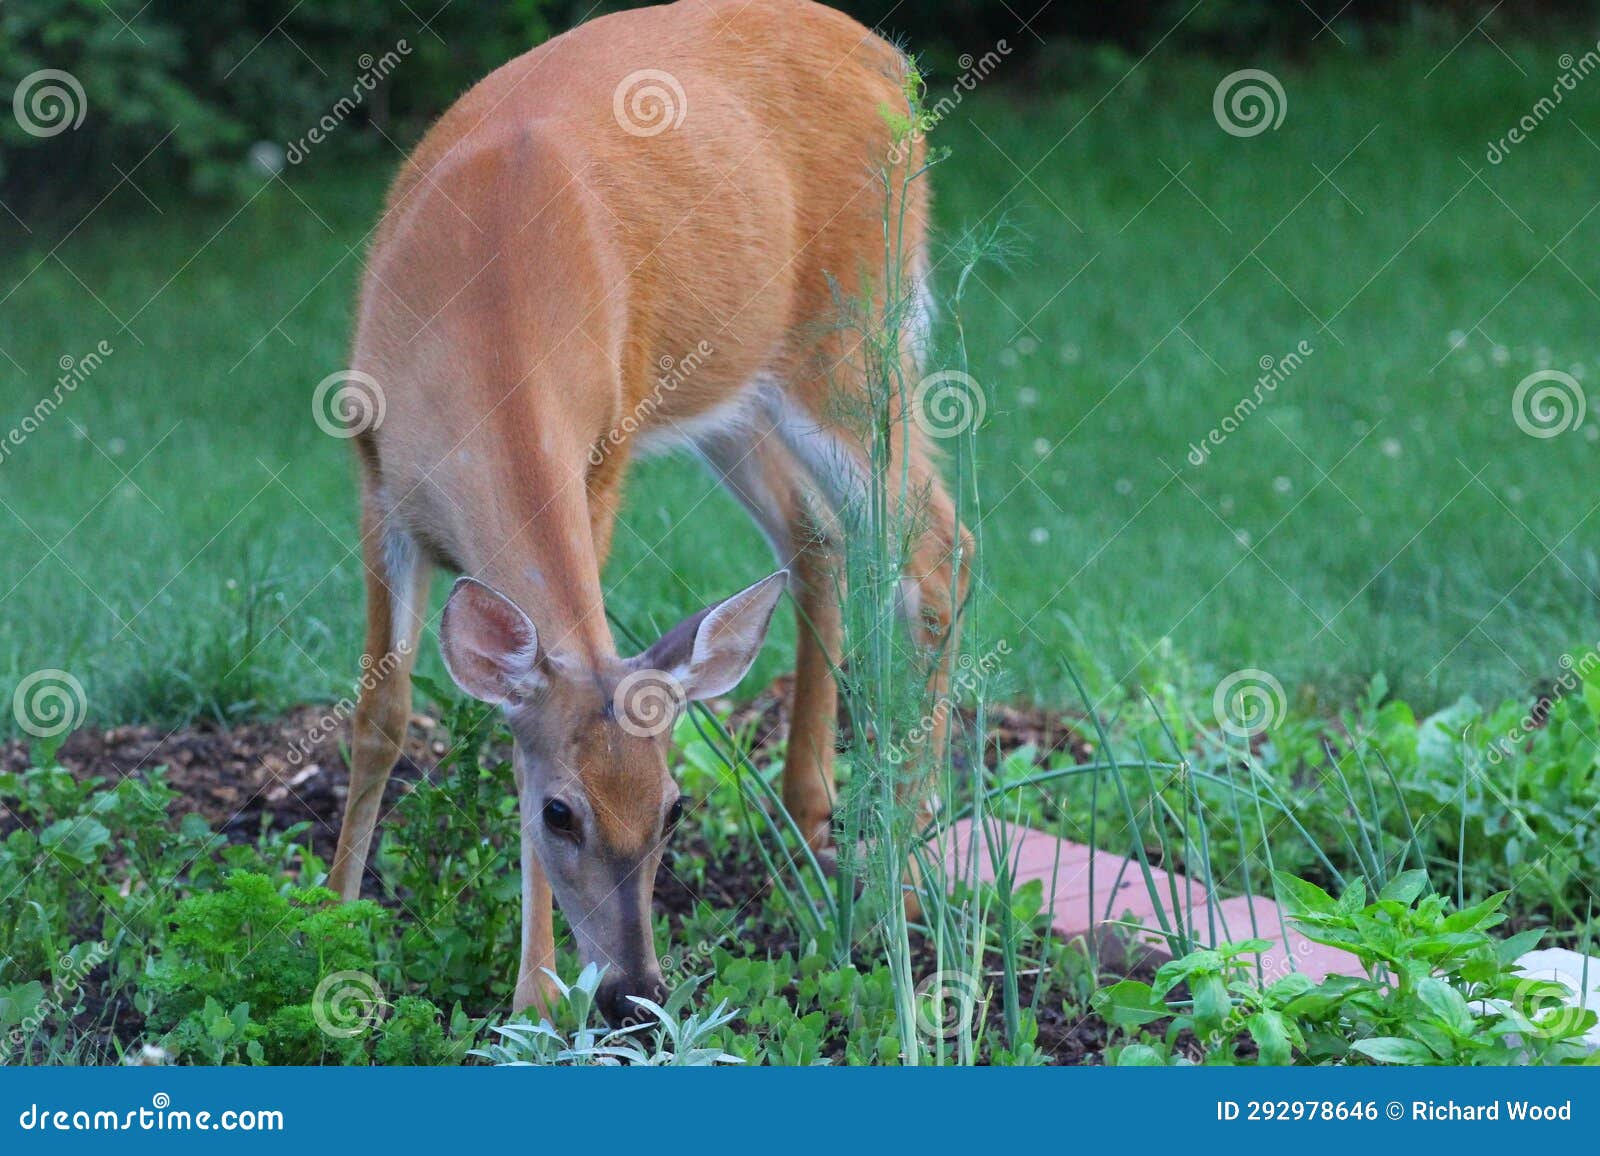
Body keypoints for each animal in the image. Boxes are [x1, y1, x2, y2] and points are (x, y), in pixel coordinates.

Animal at [327, 0, 971, 1026]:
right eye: (560, 812)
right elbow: (381, 714)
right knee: (817, 536)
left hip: (853, 343)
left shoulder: (606, 444)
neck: (483, 313)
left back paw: (902, 884)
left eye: (674, 808)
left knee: (938, 542)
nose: (635, 990)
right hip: (740, 388)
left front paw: (535, 1000)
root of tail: (888, 59)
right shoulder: (373, 475)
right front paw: (328, 923)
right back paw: (808, 806)